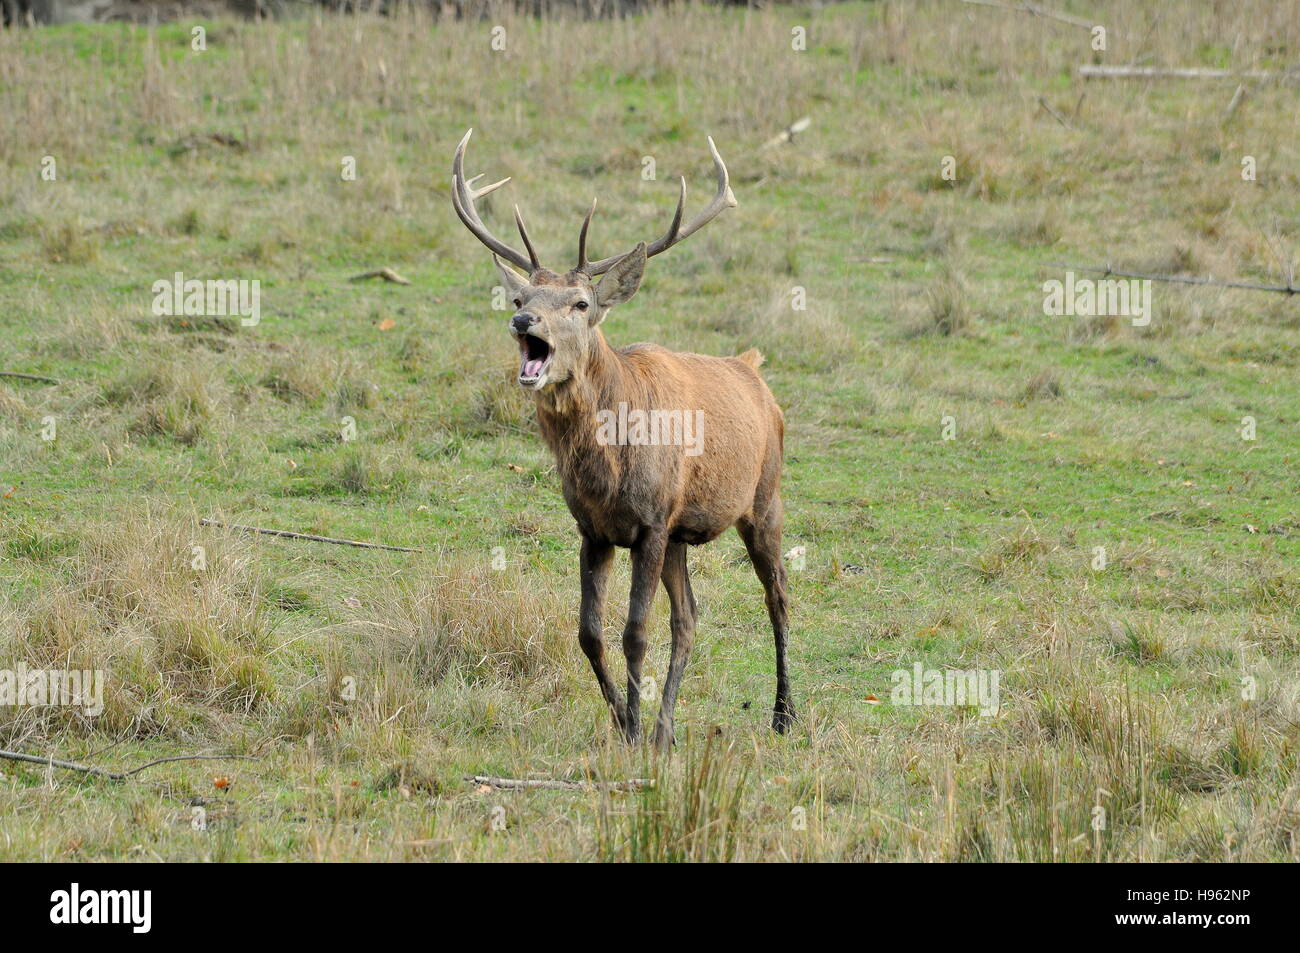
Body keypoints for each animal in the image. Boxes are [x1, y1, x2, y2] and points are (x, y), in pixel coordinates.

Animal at [450, 129, 793, 750]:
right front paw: (624, 724)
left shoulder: (652, 522)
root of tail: (754, 369)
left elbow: (635, 632)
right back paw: (667, 730)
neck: (607, 468)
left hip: (764, 498)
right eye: (519, 299)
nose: (524, 324)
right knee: (689, 620)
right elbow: (589, 632)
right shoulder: (596, 529)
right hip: (685, 532)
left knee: (777, 596)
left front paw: (631, 726)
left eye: (581, 303)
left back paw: (783, 713)